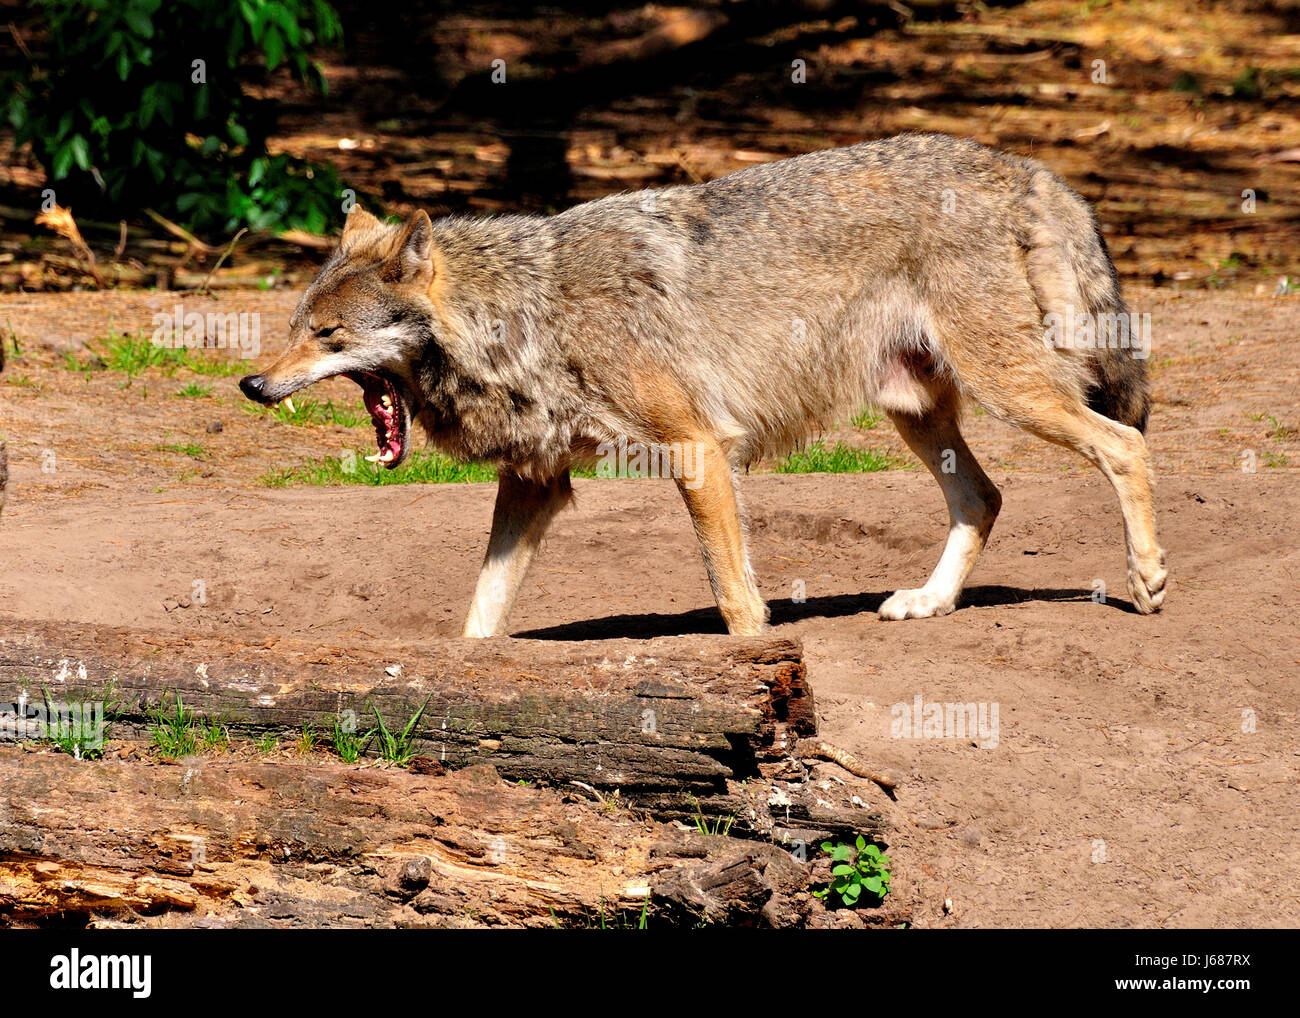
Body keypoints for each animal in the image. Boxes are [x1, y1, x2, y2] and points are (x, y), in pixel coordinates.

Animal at [240, 133, 1166, 637]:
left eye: (329, 337)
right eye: (294, 326)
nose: (251, 384)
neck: (529, 313)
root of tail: (1021, 165)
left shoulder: (700, 452)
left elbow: (735, 598)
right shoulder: (535, 484)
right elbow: (480, 613)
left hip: (1010, 391)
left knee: (1123, 443)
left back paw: (1147, 580)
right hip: (917, 413)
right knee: (986, 497)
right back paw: (929, 603)